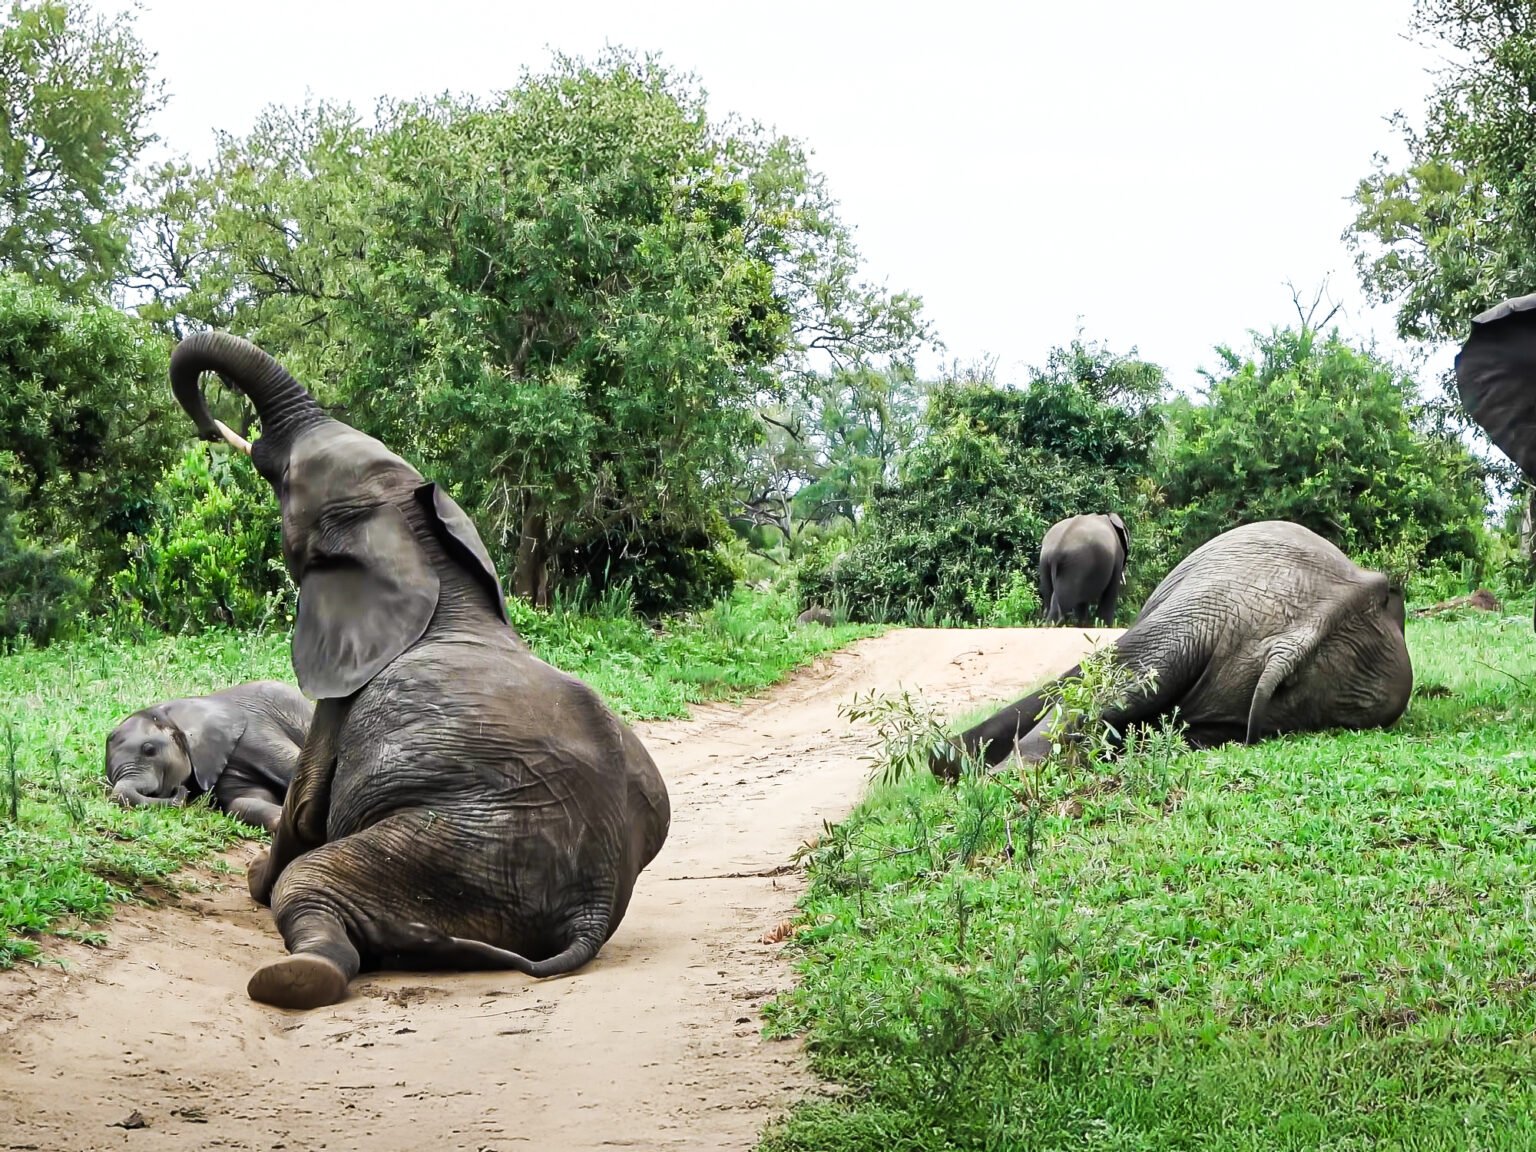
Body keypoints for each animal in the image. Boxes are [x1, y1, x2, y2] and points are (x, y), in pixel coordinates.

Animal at [169, 331, 672, 1011]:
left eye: (289, 480)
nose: (207, 426)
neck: (416, 543)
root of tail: (592, 911)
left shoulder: (341, 693)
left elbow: (303, 810)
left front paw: (252, 878)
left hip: (453, 849)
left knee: (310, 882)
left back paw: (295, 977)